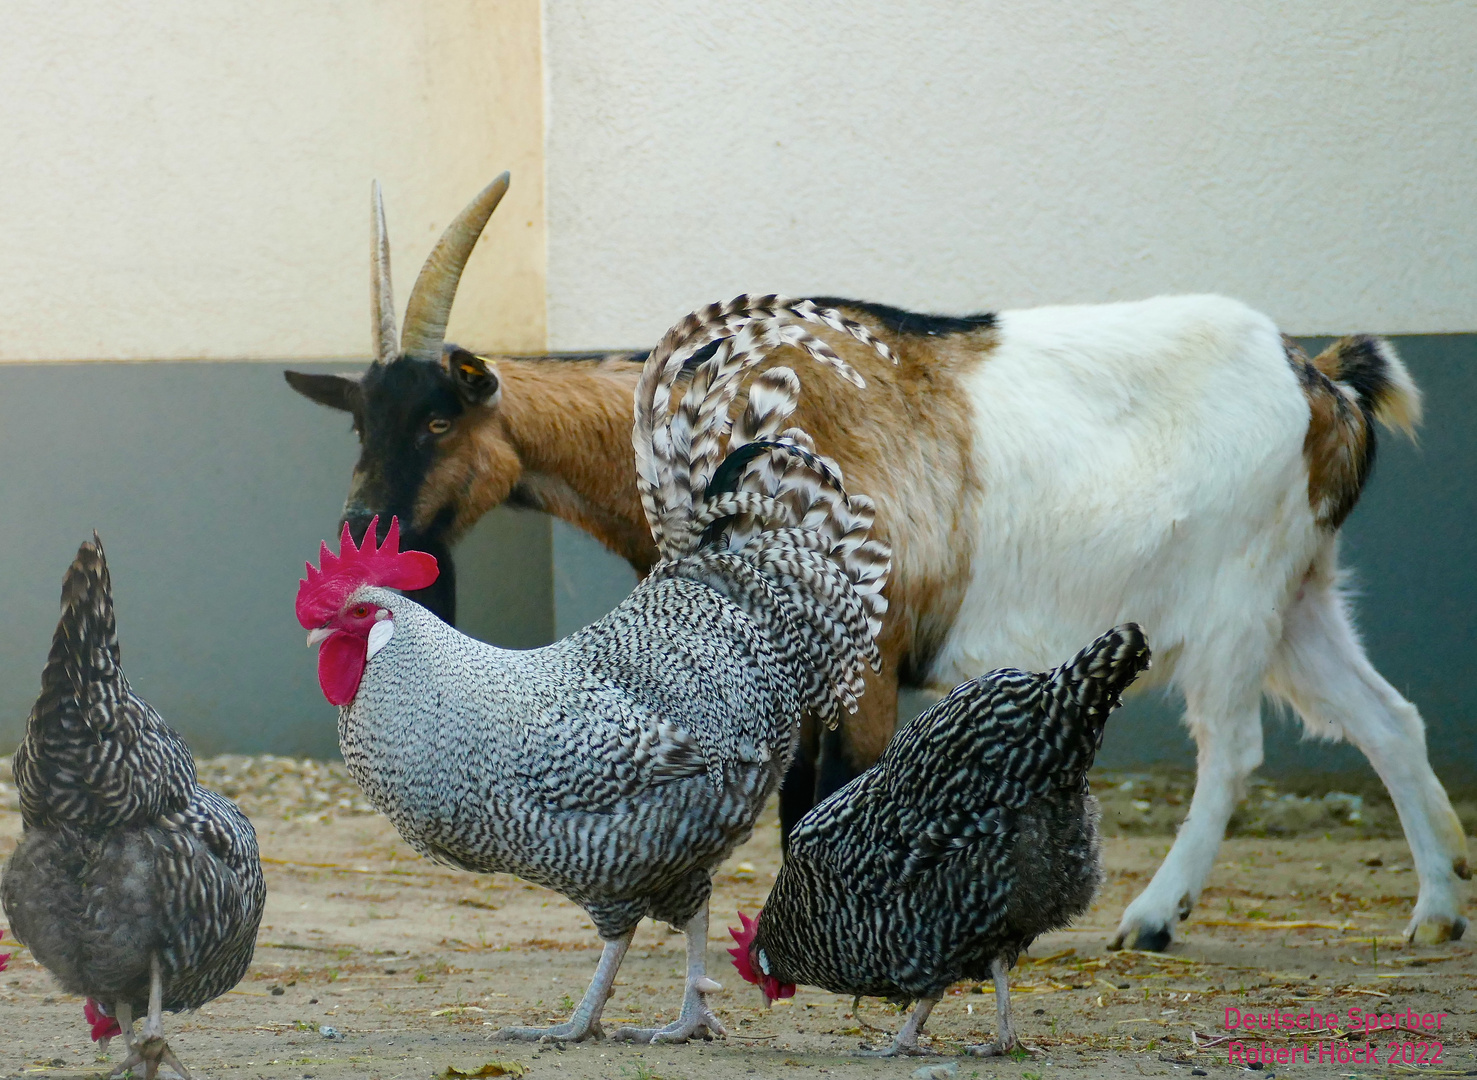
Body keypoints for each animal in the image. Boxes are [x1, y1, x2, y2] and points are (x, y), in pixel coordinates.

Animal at [288, 175, 1469, 951]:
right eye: (358, 420)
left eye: (438, 417)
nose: (361, 529)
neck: (710, 418)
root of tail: (1321, 378)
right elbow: (791, 799)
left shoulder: (866, 658)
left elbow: (826, 800)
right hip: (1299, 596)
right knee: (1388, 721)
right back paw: (1435, 912)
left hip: (1232, 596)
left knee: (1233, 751)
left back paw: (1151, 917)